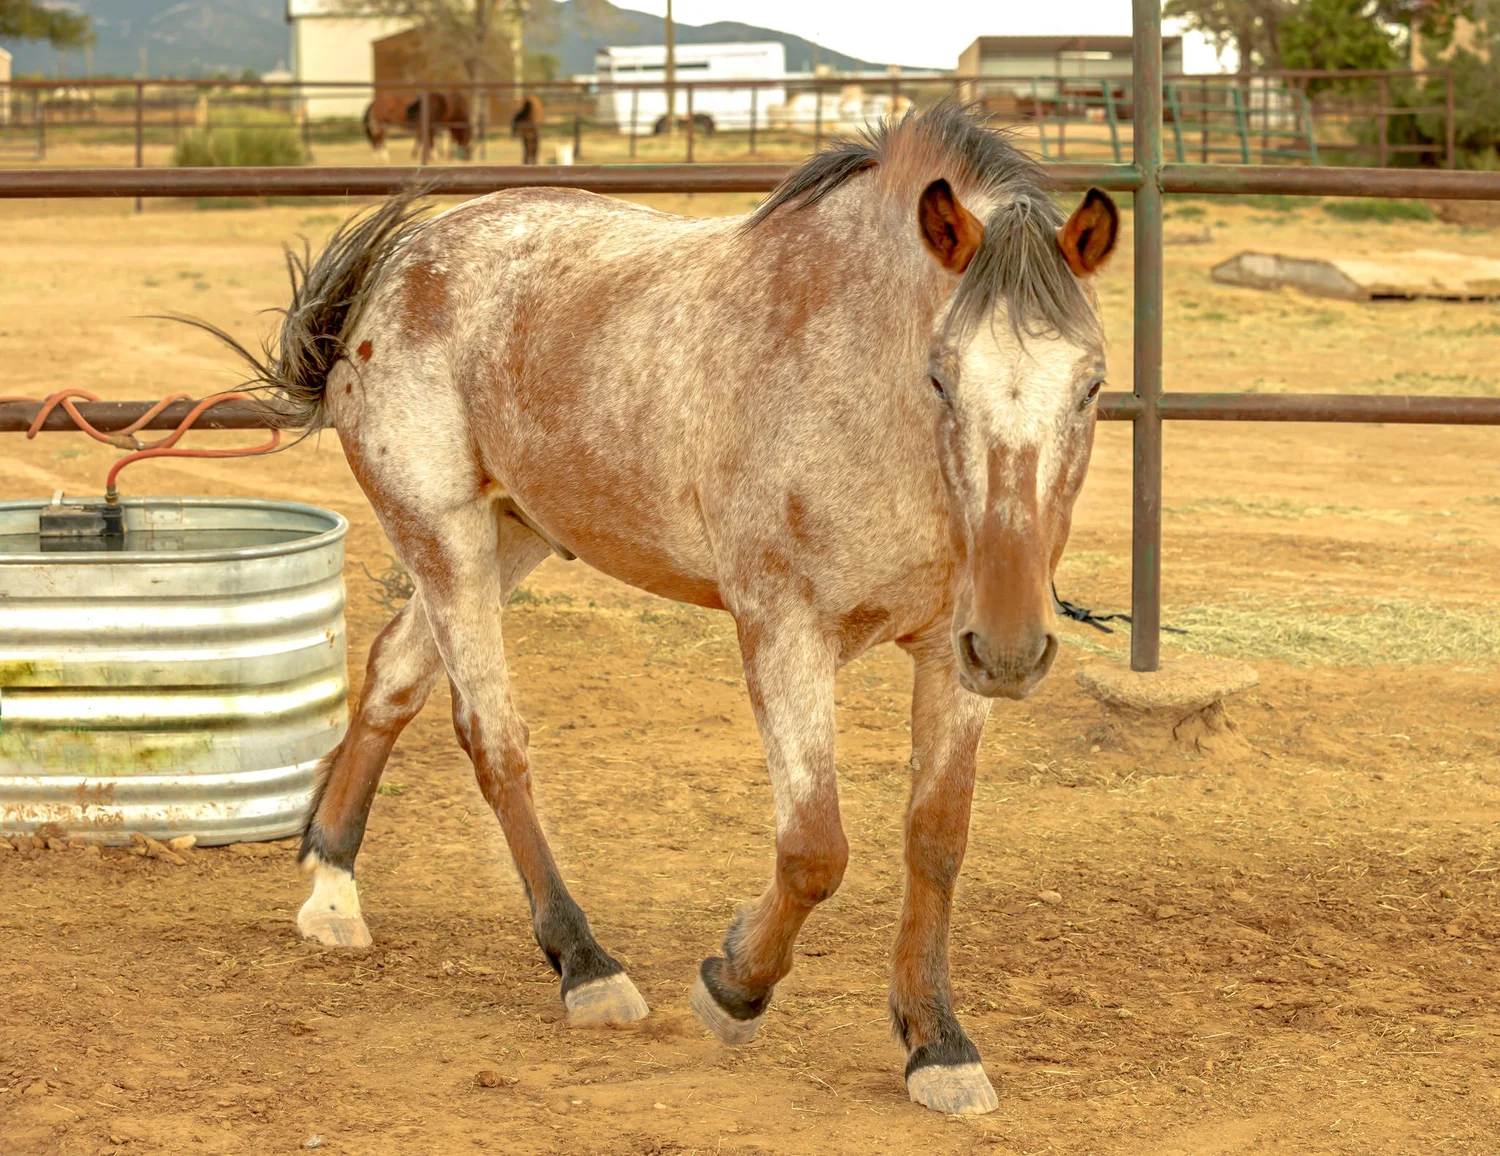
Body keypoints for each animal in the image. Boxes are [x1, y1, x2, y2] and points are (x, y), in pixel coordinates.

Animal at [207, 101, 1118, 1116]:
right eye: (940, 376)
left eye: (1091, 384)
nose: (1016, 651)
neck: (861, 391)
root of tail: (402, 265)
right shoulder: (782, 634)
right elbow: (815, 849)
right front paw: (735, 986)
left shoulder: (949, 656)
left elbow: (936, 841)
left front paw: (938, 1043)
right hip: (444, 540)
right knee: (494, 740)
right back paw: (585, 964)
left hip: (510, 536)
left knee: (393, 677)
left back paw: (330, 889)